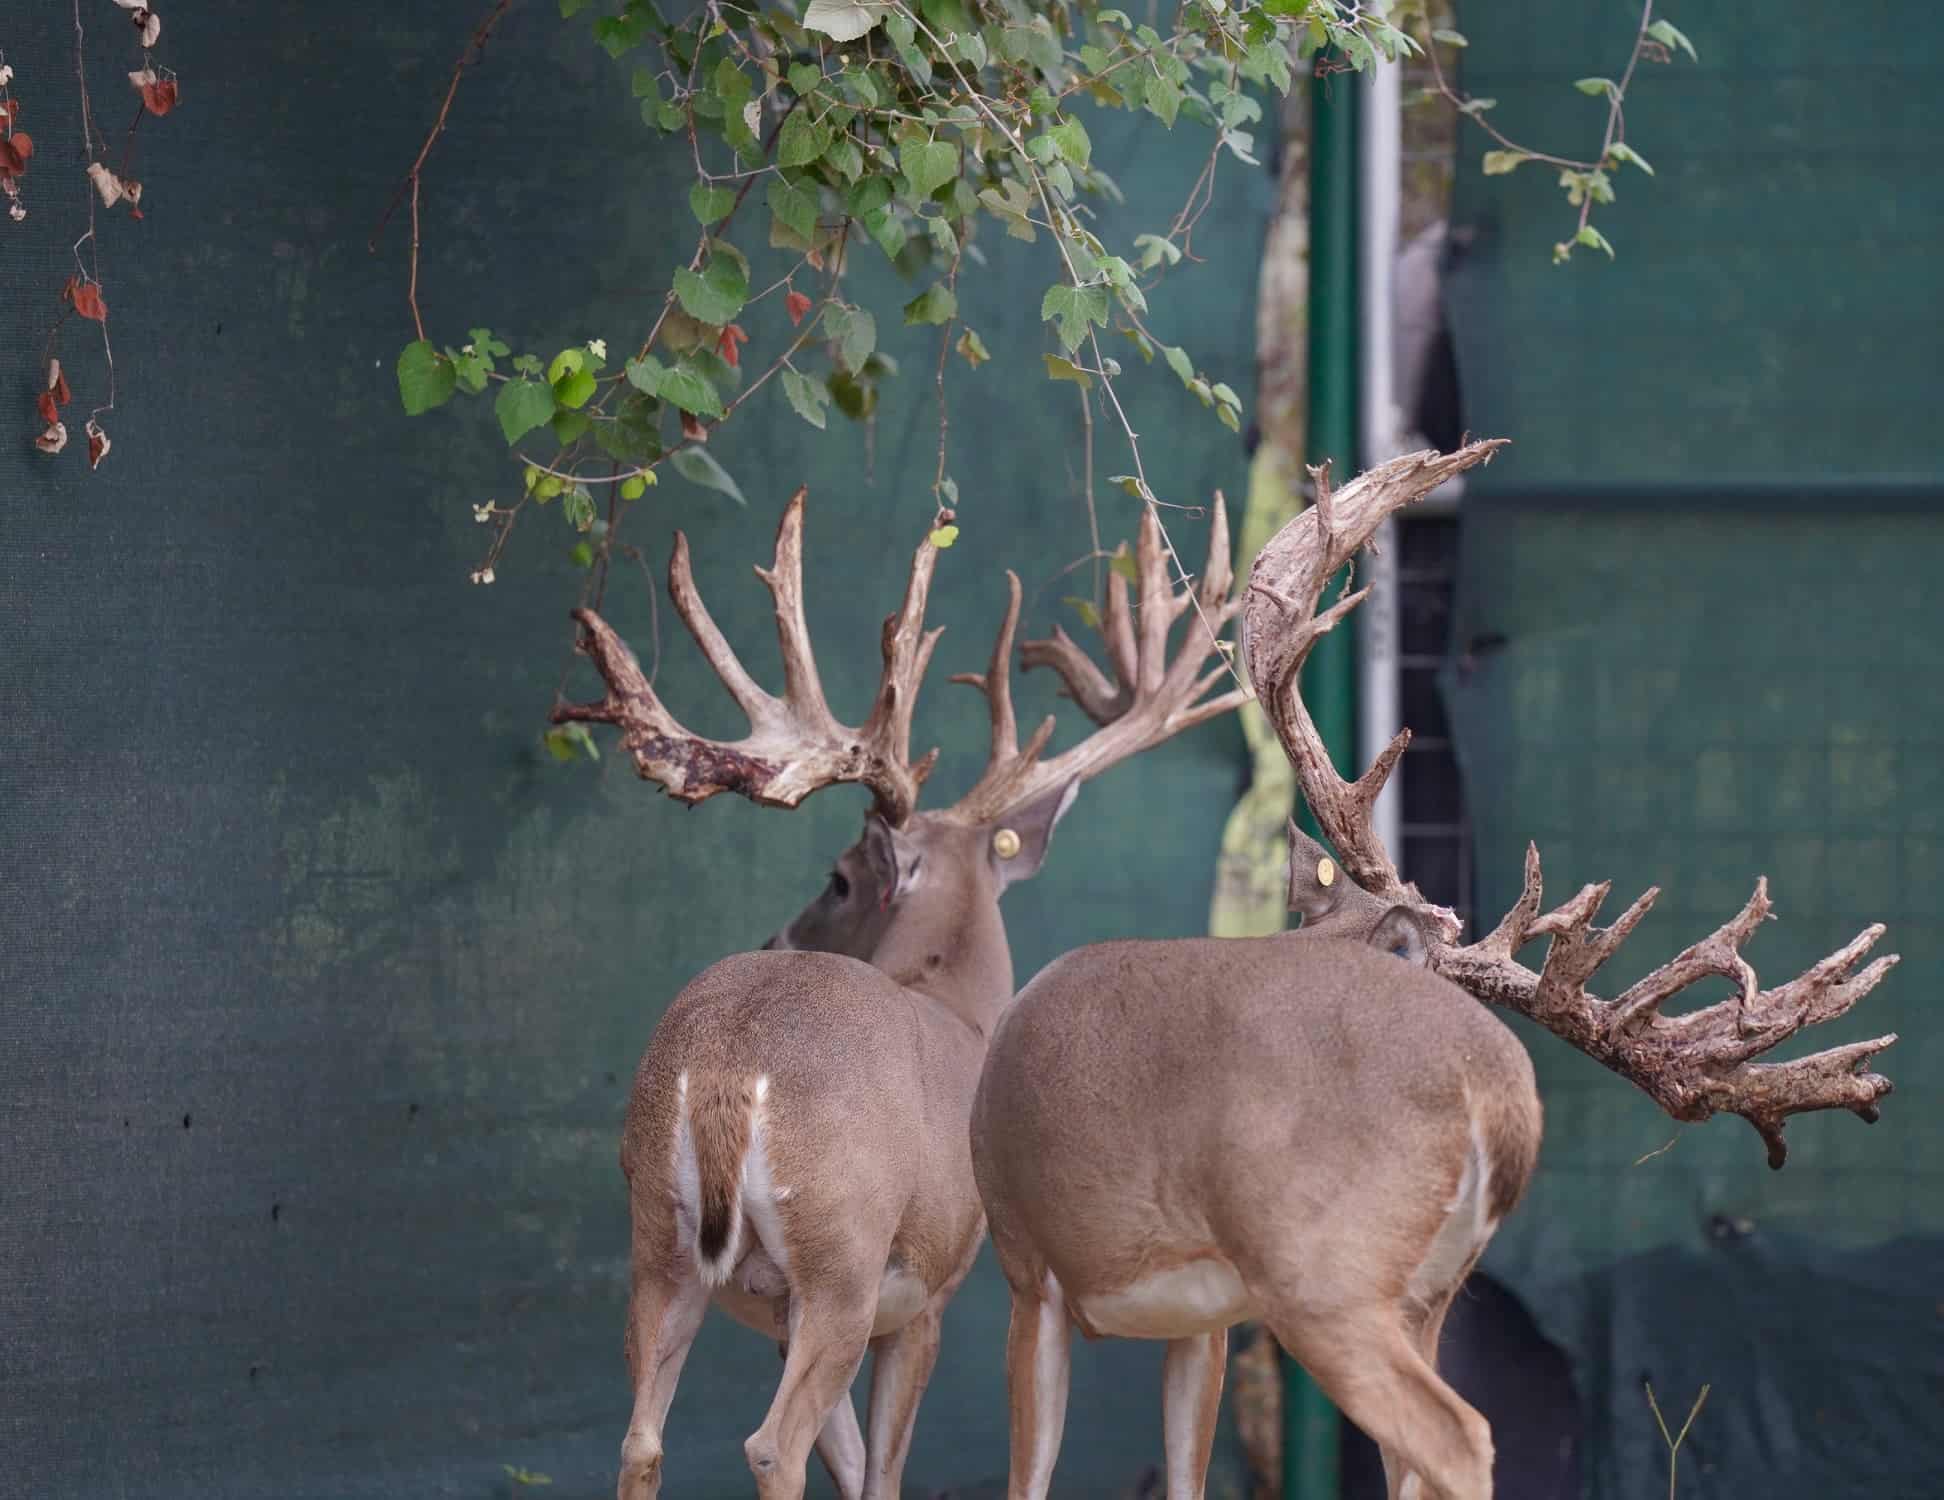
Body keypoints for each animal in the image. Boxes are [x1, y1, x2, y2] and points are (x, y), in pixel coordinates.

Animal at [550, 487, 1249, 1500]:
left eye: (838, 880)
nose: (779, 934)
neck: (959, 1011)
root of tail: (723, 1068)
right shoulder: (935, 1281)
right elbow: (881, 1474)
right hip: (841, 1246)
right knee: (772, 1443)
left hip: (661, 1240)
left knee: (642, 1439)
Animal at [968, 440, 1900, 1500]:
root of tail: (1493, 1093)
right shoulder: (1196, 1318)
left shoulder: (1027, 1262)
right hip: (1424, 1293)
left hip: (1320, 1269)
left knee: (1457, 1437)